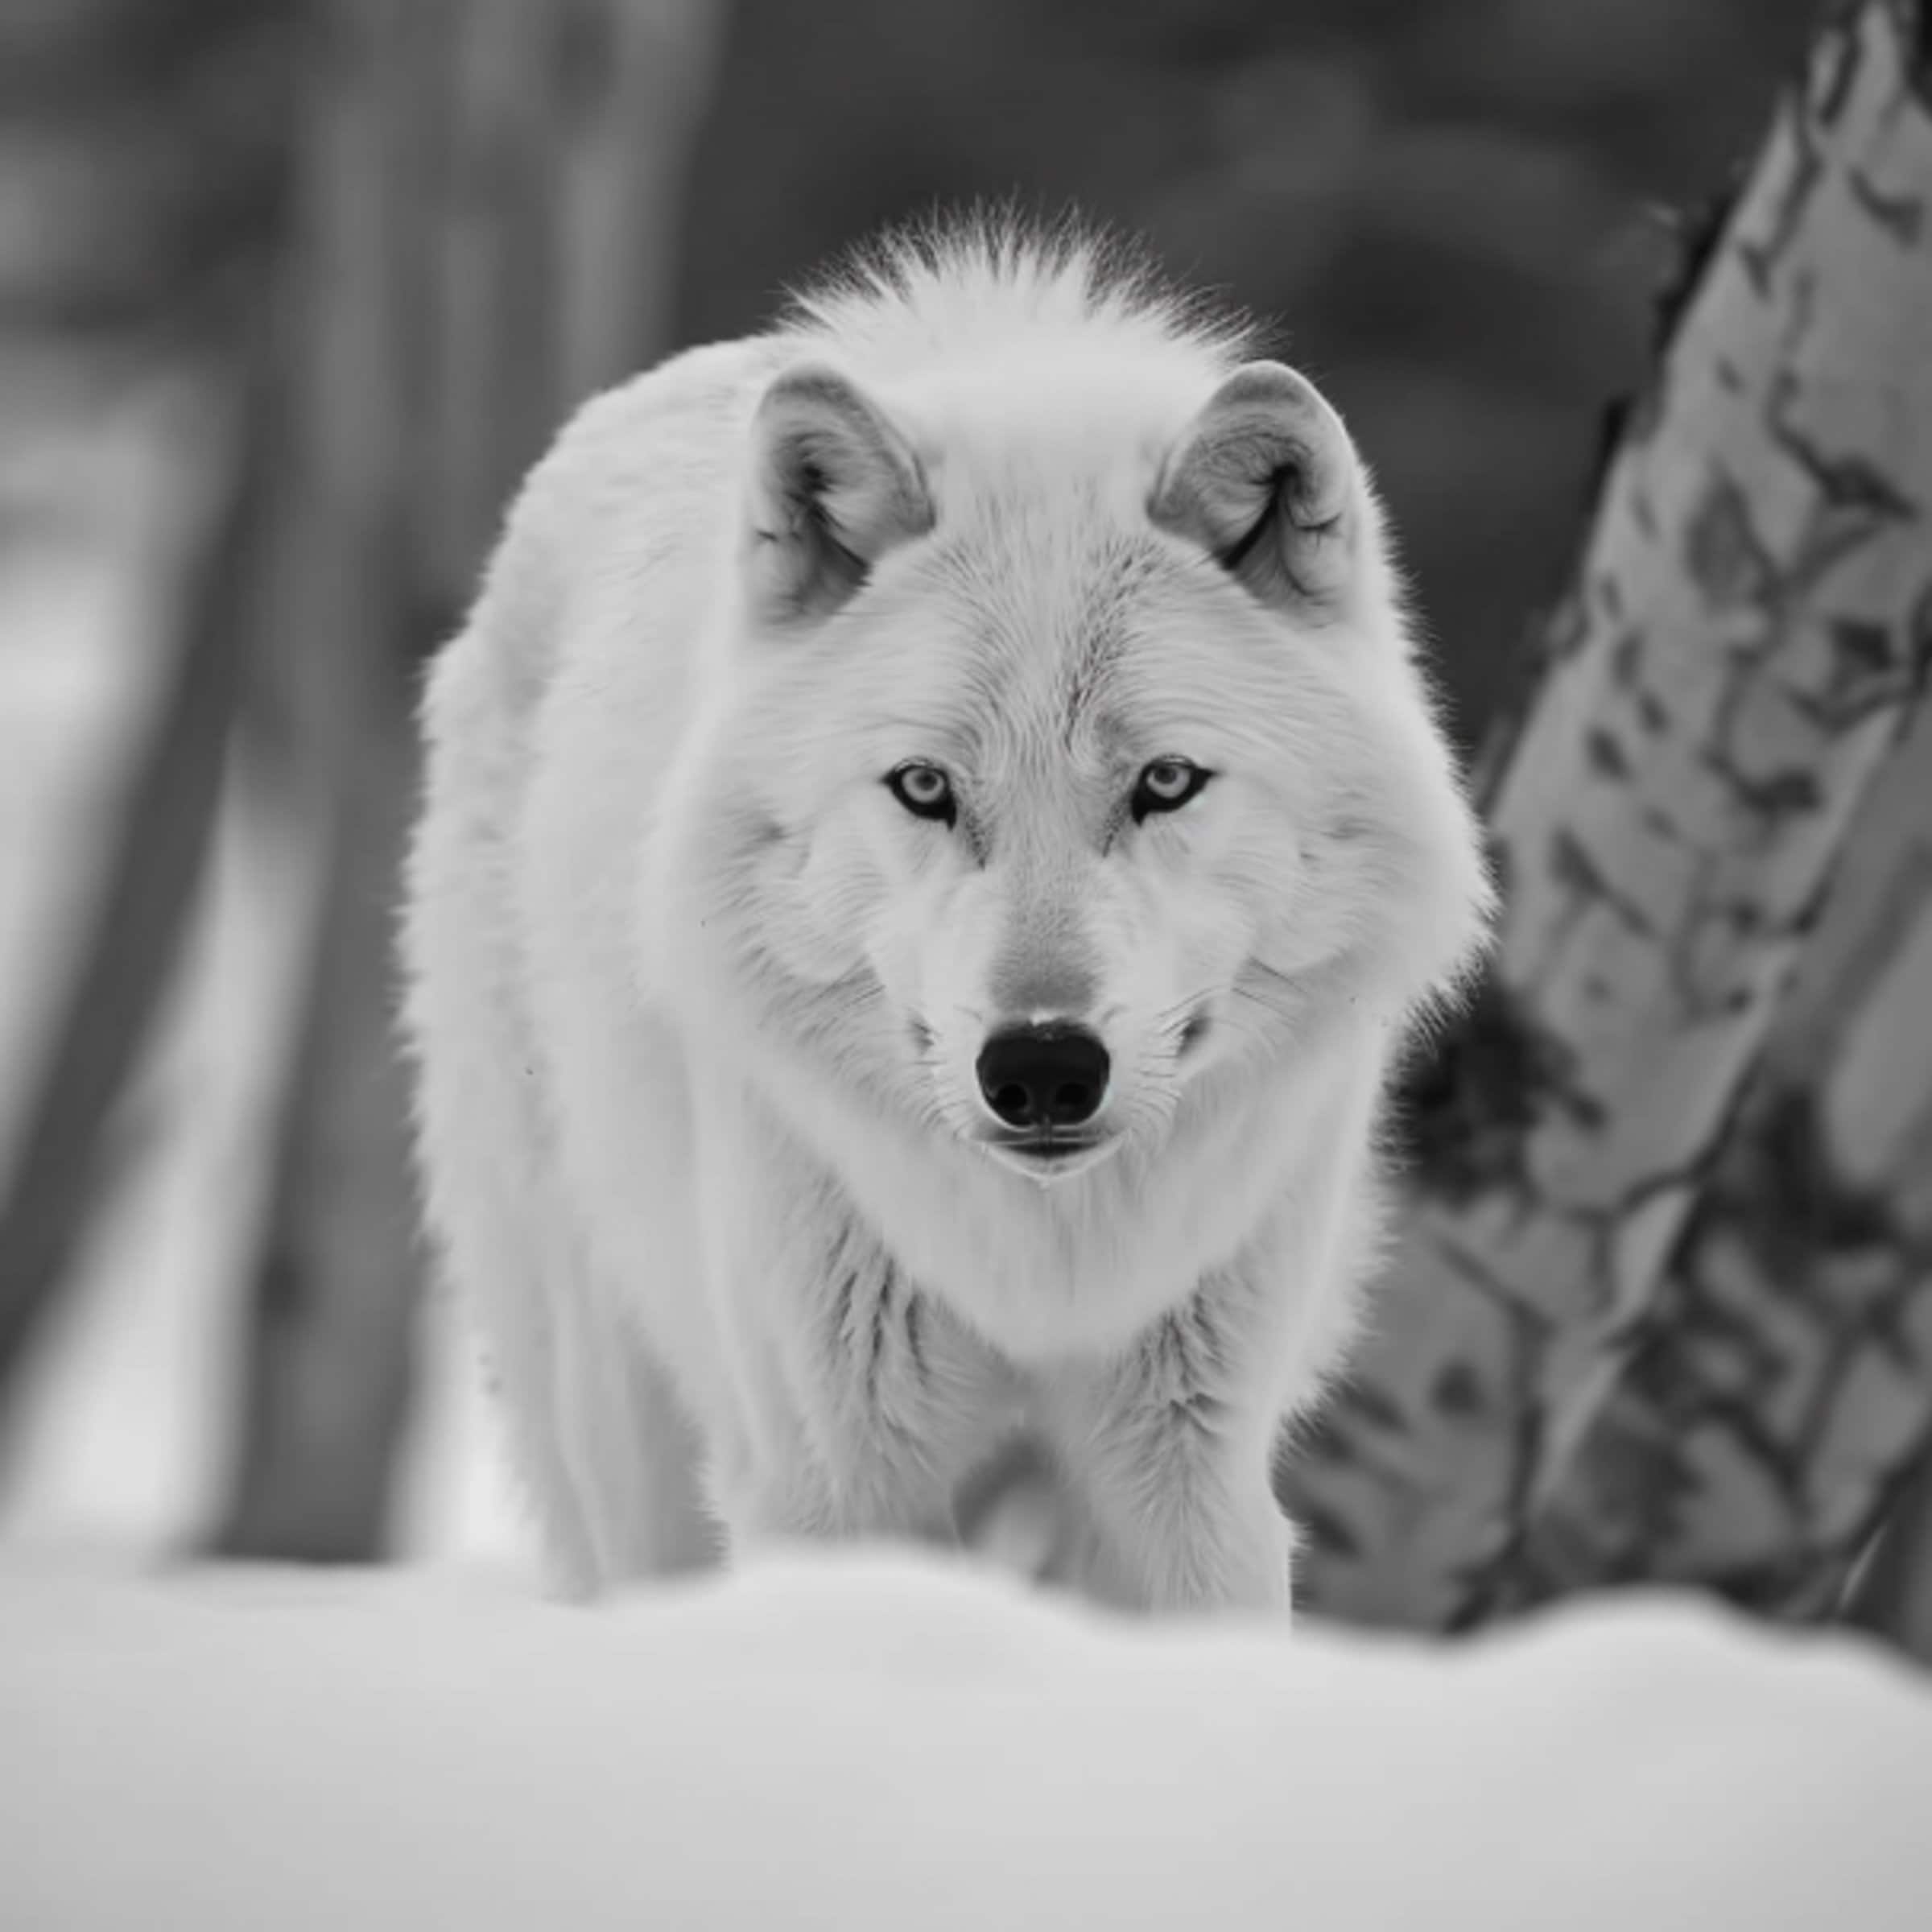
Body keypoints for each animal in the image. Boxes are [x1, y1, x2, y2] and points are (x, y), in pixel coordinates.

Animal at [400, 218, 1493, 1615]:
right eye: (925, 788)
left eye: (1165, 783)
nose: (1041, 1069)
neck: (1038, 1269)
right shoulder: (833, 1476)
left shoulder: (1193, 1481)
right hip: (617, 1406)